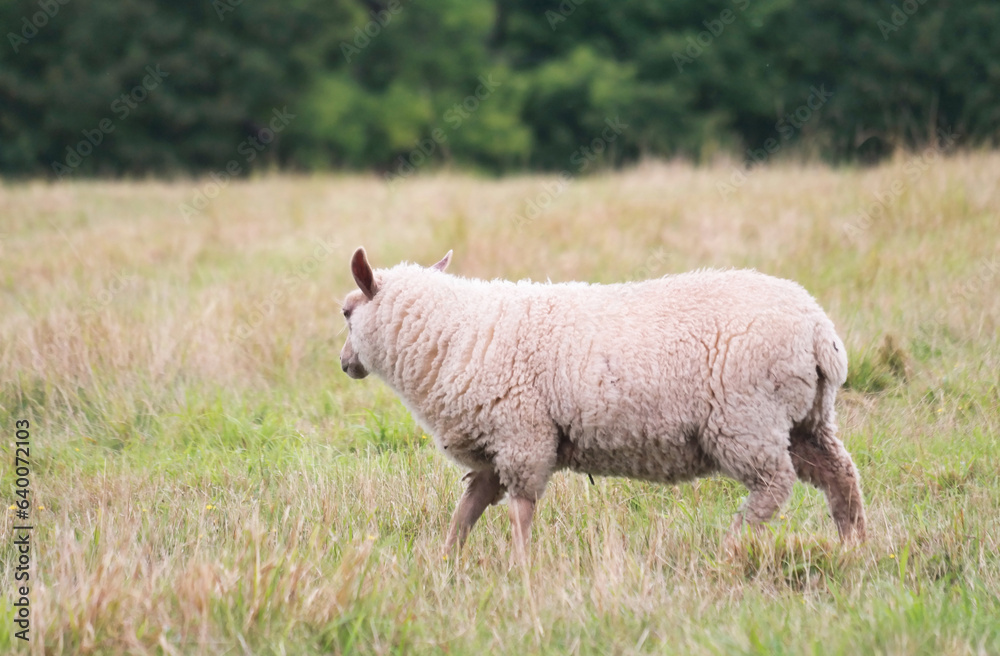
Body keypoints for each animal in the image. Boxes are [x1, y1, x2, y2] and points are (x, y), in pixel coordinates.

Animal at [339, 247, 867, 559]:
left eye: (346, 313)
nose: (345, 364)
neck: (454, 333)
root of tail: (819, 331)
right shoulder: (496, 448)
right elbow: (466, 510)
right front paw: (447, 562)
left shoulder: (523, 436)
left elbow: (520, 511)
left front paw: (520, 568)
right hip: (805, 421)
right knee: (840, 476)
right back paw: (855, 547)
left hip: (747, 420)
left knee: (774, 485)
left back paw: (733, 543)